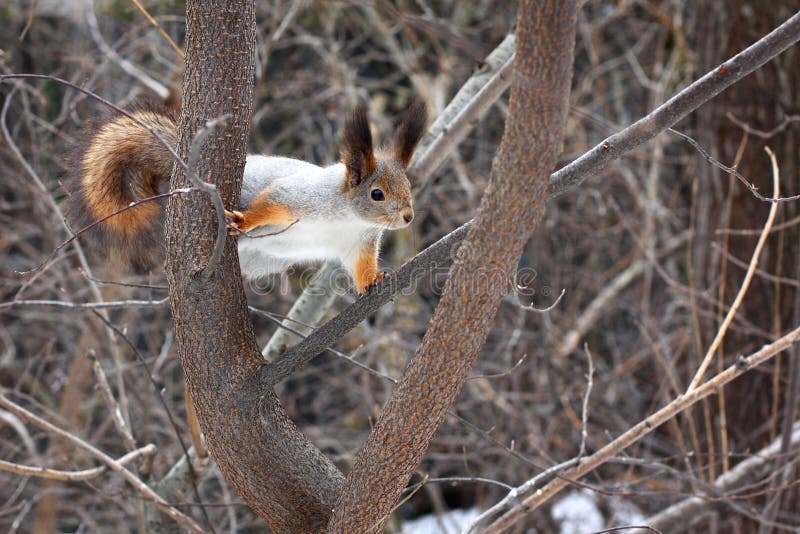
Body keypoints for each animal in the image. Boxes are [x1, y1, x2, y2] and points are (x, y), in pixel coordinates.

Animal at [69, 101, 427, 293]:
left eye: (408, 187)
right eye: (377, 194)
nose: (408, 217)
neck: (349, 217)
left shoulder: (360, 241)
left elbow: (360, 264)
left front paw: (372, 280)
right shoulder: (300, 196)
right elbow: (272, 202)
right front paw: (243, 220)